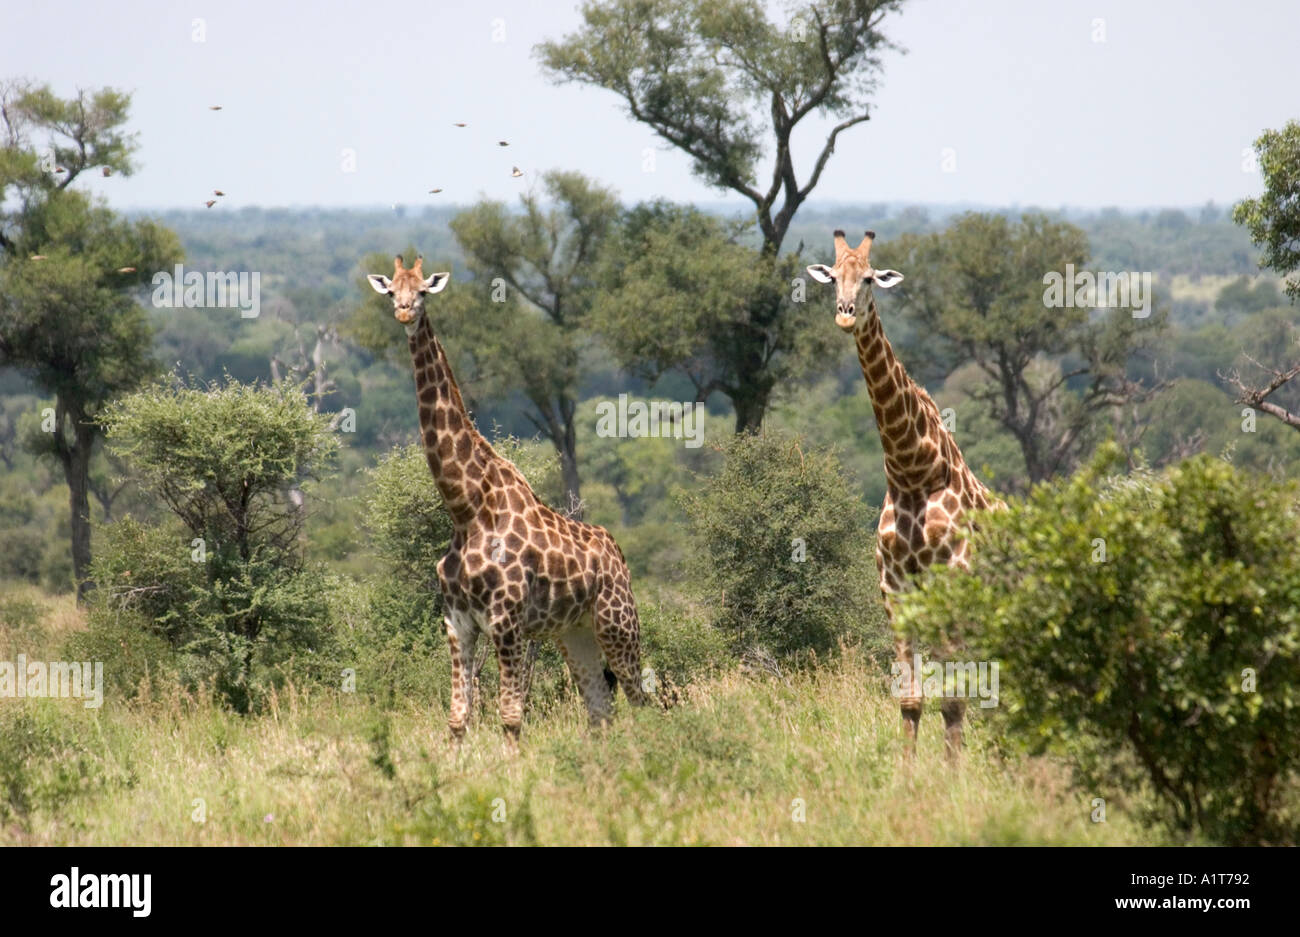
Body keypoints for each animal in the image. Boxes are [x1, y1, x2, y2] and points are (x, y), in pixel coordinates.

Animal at [367, 255, 650, 751]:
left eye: (422, 291)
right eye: (391, 291)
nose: (403, 313)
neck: (465, 509)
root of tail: (617, 554)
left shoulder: (506, 620)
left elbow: (511, 717)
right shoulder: (457, 622)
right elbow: (458, 718)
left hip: (617, 623)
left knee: (647, 698)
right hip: (574, 633)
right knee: (601, 708)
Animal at [807, 230, 1002, 754]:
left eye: (870, 279)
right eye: (832, 277)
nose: (845, 314)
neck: (913, 471)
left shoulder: (950, 583)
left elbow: (952, 701)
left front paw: (953, 775)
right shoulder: (895, 589)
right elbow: (911, 700)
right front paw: (906, 772)